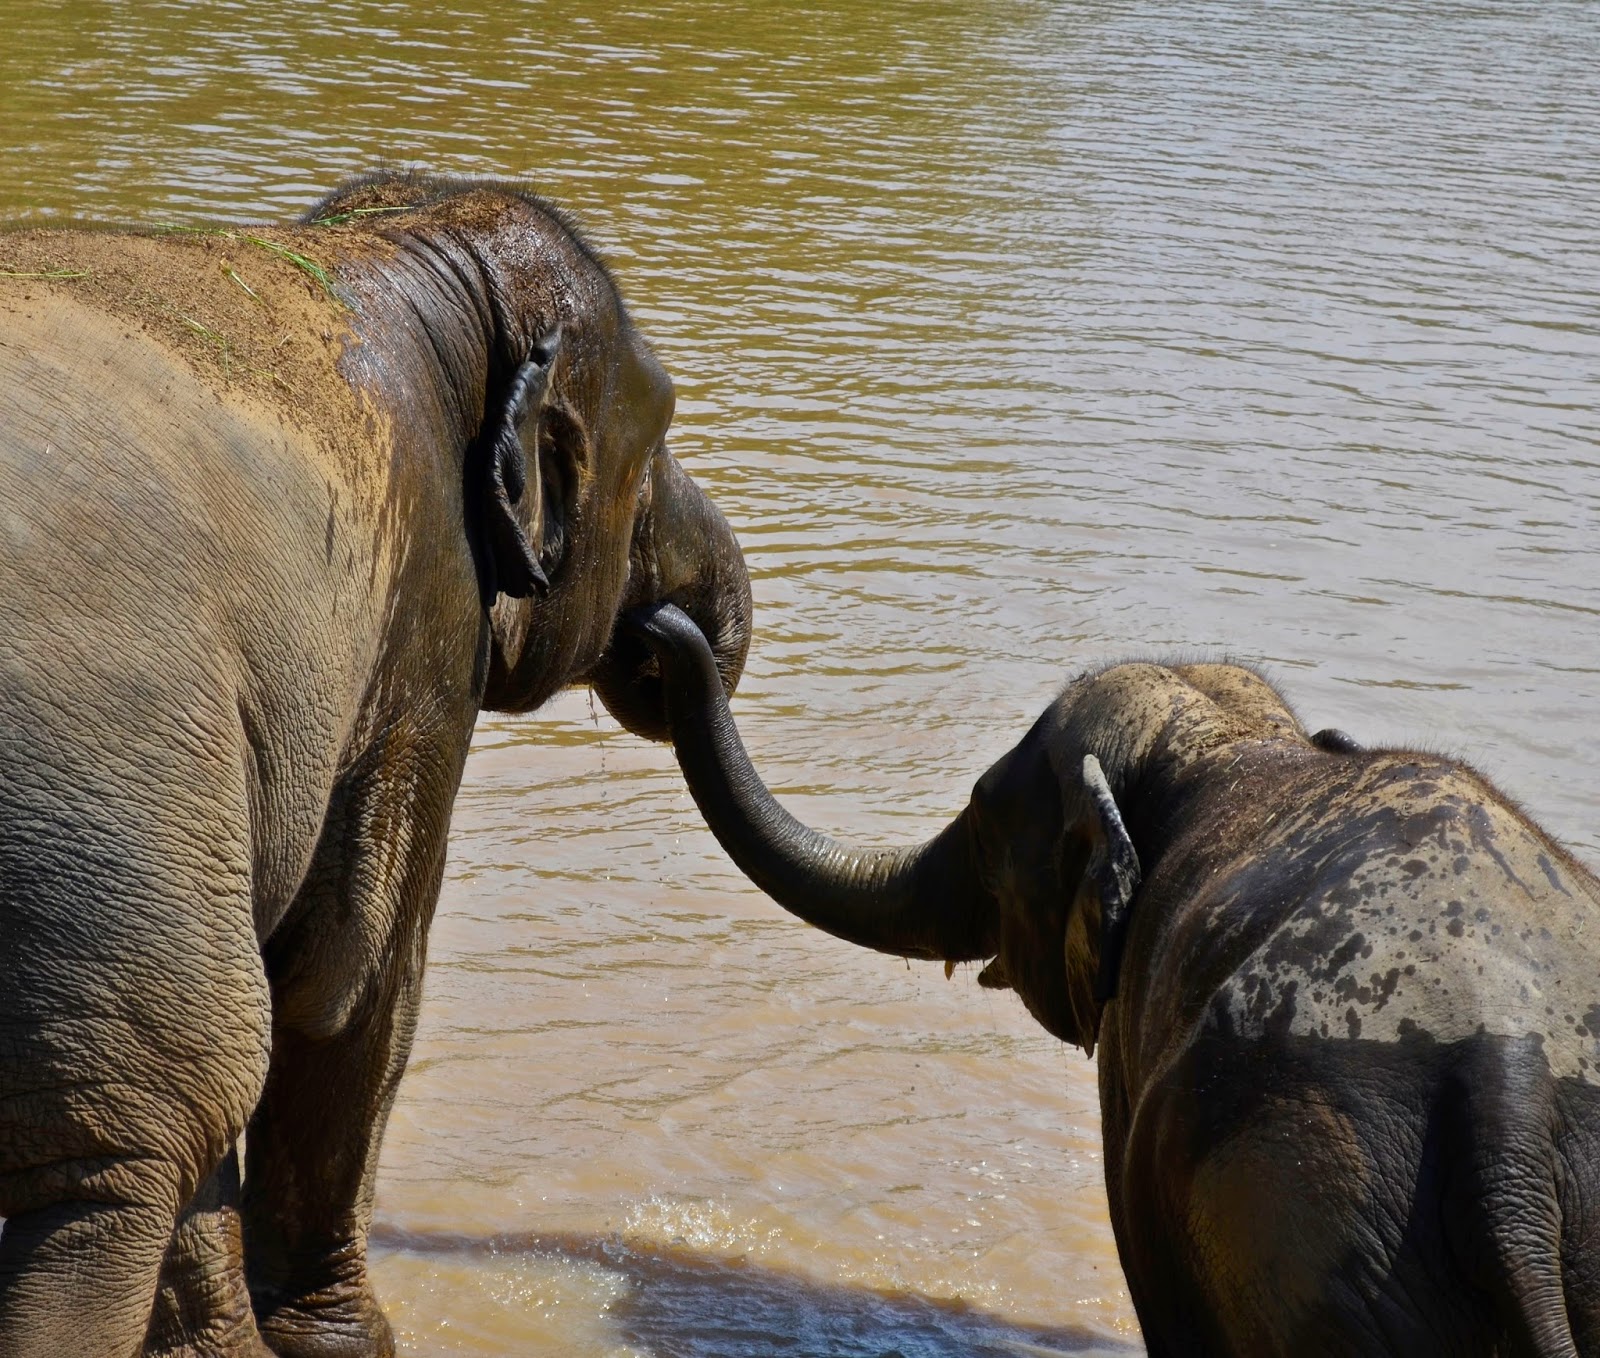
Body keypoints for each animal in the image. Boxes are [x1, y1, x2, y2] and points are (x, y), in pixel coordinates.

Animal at [0, 173, 751, 1357]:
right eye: (663, 432)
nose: (670, 629)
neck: (394, 249)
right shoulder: (422, 621)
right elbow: (350, 982)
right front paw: (348, 1346)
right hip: (89, 801)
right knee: (149, 1130)